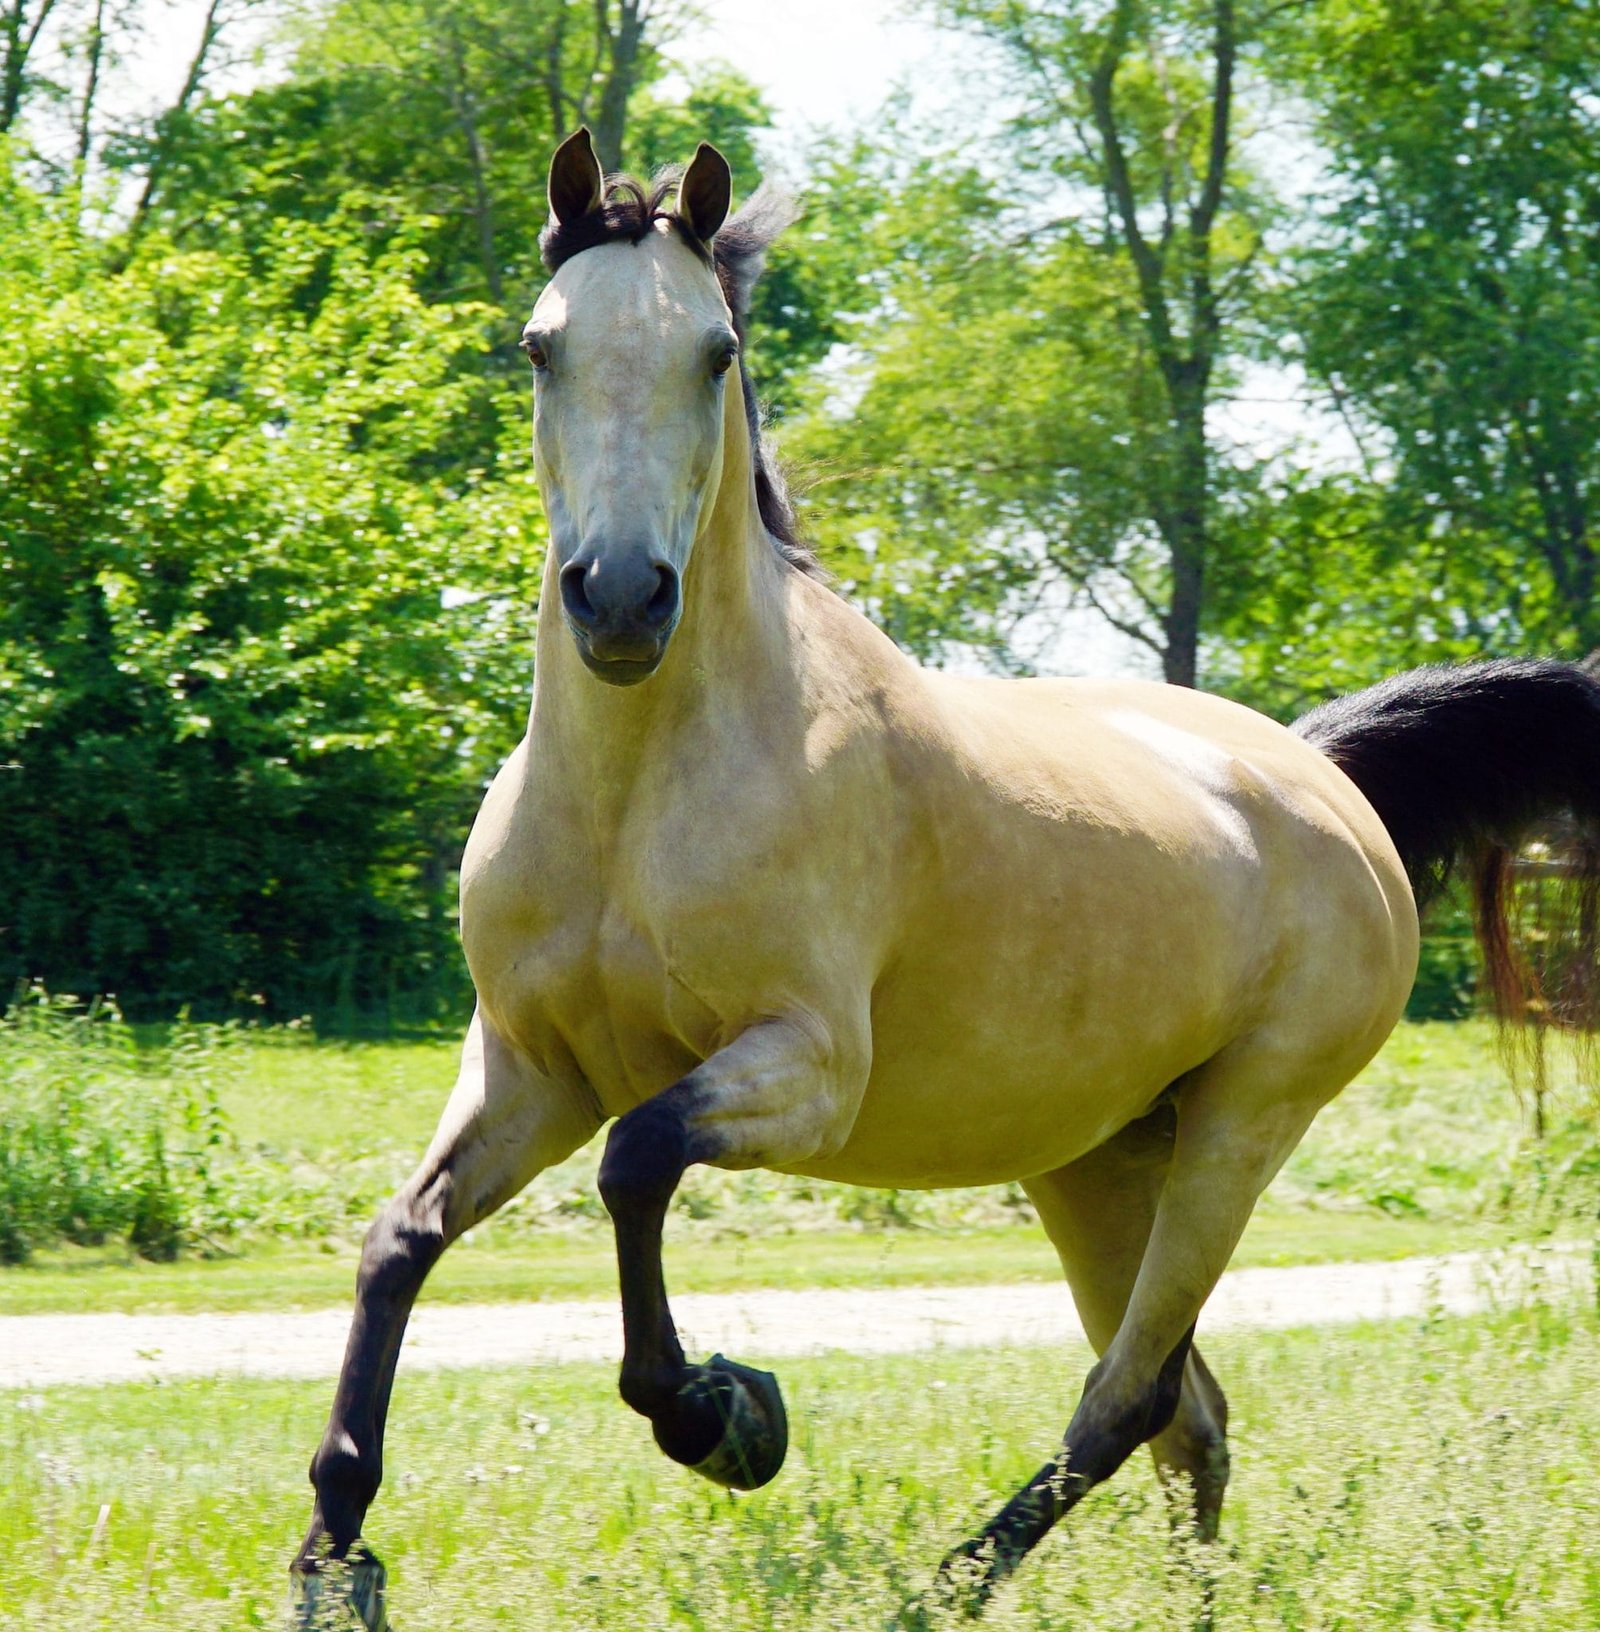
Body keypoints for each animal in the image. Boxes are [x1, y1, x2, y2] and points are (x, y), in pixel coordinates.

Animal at [290, 129, 1600, 1628]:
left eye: (715, 354)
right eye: (538, 345)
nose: (619, 598)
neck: (639, 794)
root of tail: (1322, 778)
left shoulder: (803, 1068)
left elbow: (637, 1168)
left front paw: (726, 1417)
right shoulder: (530, 1067)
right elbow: (400, 1241)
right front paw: (334, 1554)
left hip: (1240, 1131)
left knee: (1128, 1395)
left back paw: (949, 1582)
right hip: (1100, 1161)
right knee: (1188, 1417)